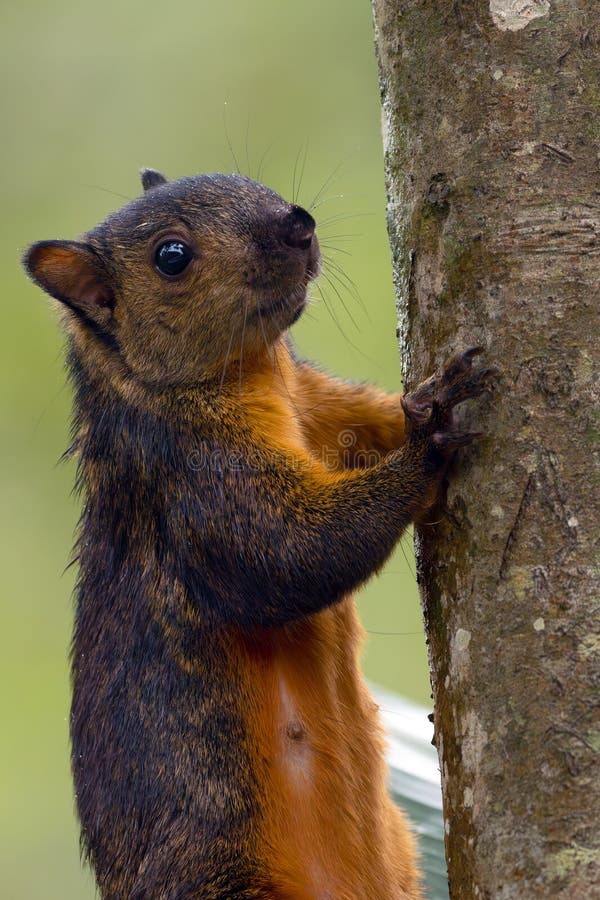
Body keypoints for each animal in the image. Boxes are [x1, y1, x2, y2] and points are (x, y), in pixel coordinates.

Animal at [23, 169, 495, 900]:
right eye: (171, 257)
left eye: (241, 179)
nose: (297, 224)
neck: (260, 371)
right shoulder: (192, 477)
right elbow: (287, 557)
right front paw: (429, 445)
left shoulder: (323, 406)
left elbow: (373, 423)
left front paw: (426, 403)